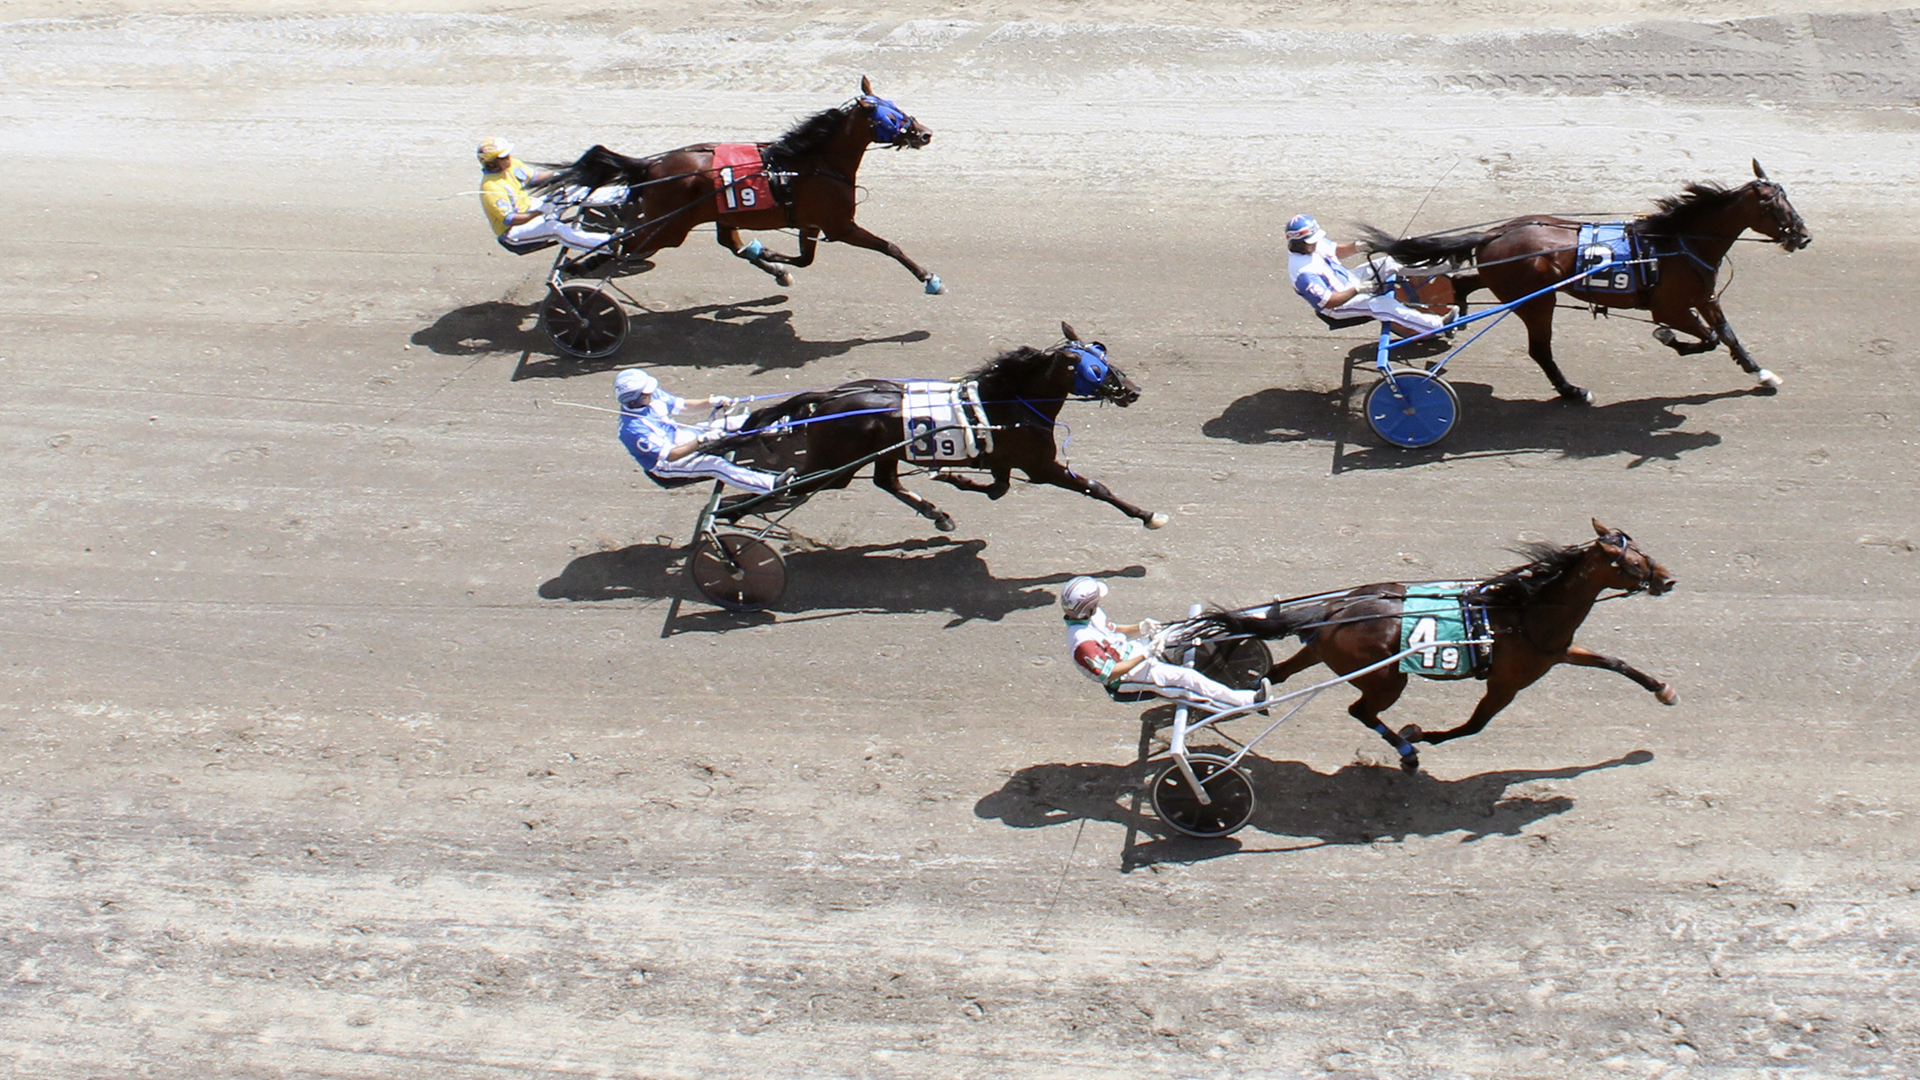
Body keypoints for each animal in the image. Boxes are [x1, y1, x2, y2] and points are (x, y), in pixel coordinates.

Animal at [535, 77, 943, 294]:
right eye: (892, 115)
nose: (925, 133)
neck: (816, 162)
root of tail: (651, 165)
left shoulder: (810, 223)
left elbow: (804, 259)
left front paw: (772, 257)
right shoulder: (840, 225)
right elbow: (890, 247)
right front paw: (928, 277)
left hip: (713, 215)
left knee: (728, 243)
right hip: (667, 230)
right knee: (624, 244)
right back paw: (575, 270)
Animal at [713, 322, 1169, 532]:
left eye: (1102, 353)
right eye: (1096, 368)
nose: (1133, 390)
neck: (1009, 403)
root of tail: (828, 399)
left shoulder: (1003, 460)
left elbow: (998, 490)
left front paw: (953, 478)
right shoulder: (1041, 466)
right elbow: (1096, 488)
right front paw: (1147, 514)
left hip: (880, 454)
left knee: (886, 482)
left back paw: (937, 513)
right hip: (837, 464)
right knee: (793, 484)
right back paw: (731, 514)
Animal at [1170, 521, 1677, 775]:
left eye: (1643, 552)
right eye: (1633, 562)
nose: (1668, 579)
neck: (1522, 612)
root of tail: (1337, 610)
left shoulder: (1554, 652)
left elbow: (1616, 661)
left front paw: (1663, 690)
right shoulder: (1506, 683)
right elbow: (1473, 727)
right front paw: (1420, 735)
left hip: (1323, 652)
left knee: (1275, 676)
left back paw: (1242, 698)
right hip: (1385, 678)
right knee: (1361, 711)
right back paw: (1406, 751)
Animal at [1359, 160, 1811, 403]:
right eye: (1778, 207)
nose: (1803, 236)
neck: (1676, 243)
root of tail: (1495, 233)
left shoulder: (1704, 296)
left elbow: (1728, 336)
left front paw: (1762, 373)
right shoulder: (1671, 306)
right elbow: (1707, 338)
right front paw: (1669, 339)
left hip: (1511, 285)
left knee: (1466, 283)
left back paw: (1449, 312)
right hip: (1537, 302)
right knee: (1540, 350)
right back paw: (1572, 391)